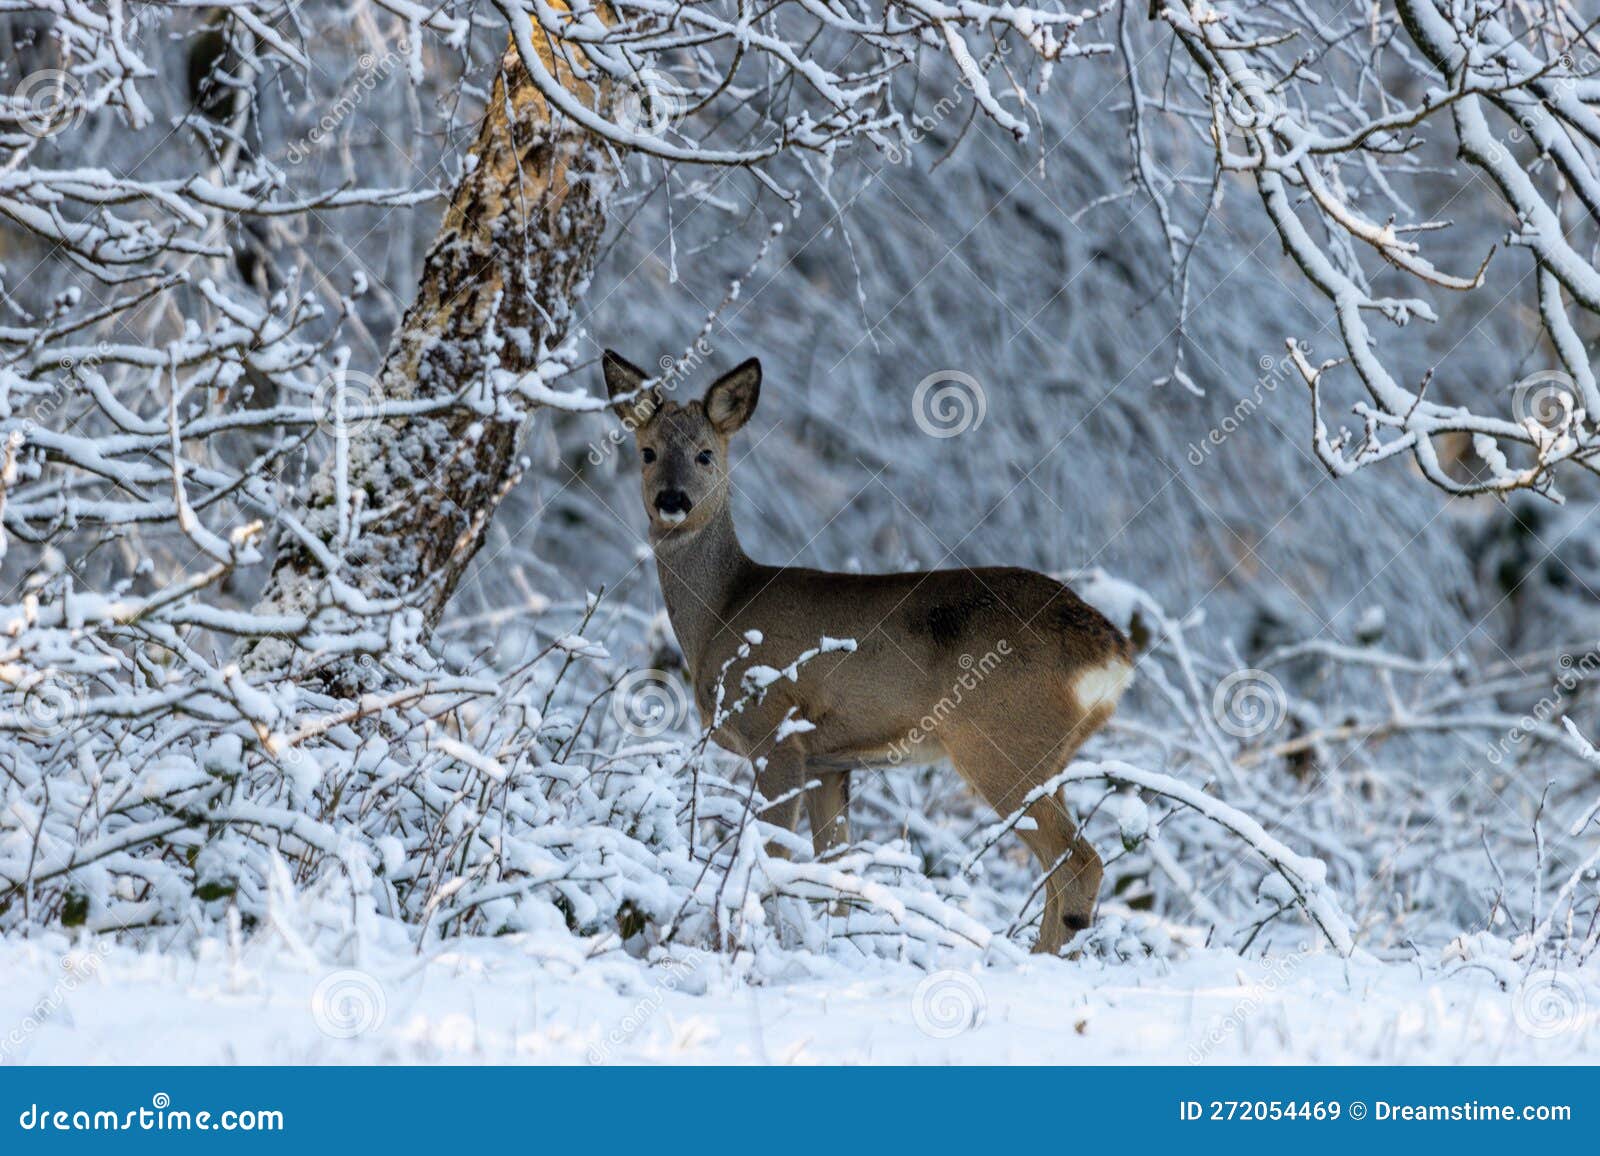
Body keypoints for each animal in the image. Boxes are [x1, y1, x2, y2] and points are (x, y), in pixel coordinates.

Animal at [603, 350, 1134, 955]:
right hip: (1048, 754)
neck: (722, 611)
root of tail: (1112, 649)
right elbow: (835, 864)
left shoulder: (774, 730)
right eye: (646, 452)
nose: (672, 500)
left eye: (705, 454)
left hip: (1004, 742)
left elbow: (773, 852)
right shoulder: (829, 761)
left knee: (1078, 862)